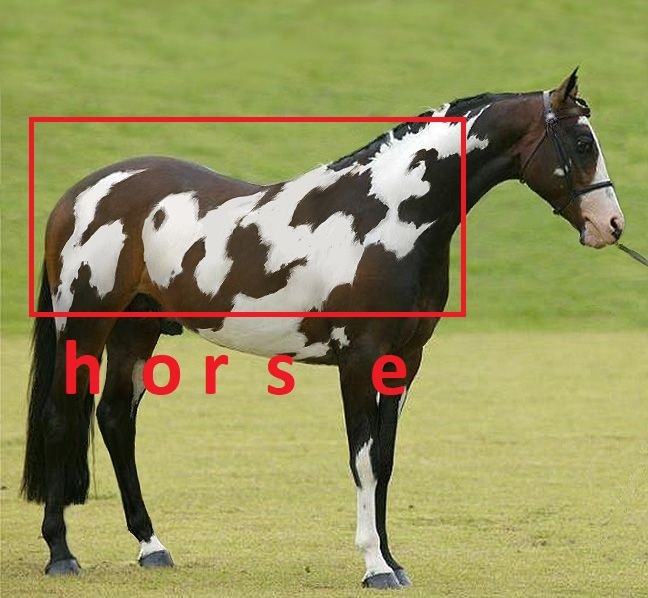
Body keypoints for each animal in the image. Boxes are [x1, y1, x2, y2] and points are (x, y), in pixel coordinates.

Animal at [22, 69, 624, 589]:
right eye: (582, 143)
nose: (611, 226)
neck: (390, 217)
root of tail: (79, 195)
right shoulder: (358, 360)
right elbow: (361, 458)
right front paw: (374, 566)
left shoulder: (405, 361)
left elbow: (384, 460)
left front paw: (393, 560)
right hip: (83, 327)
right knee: (58, 418)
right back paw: (61, 554)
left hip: (136, 331)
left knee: (115, 418)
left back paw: (152, 546)